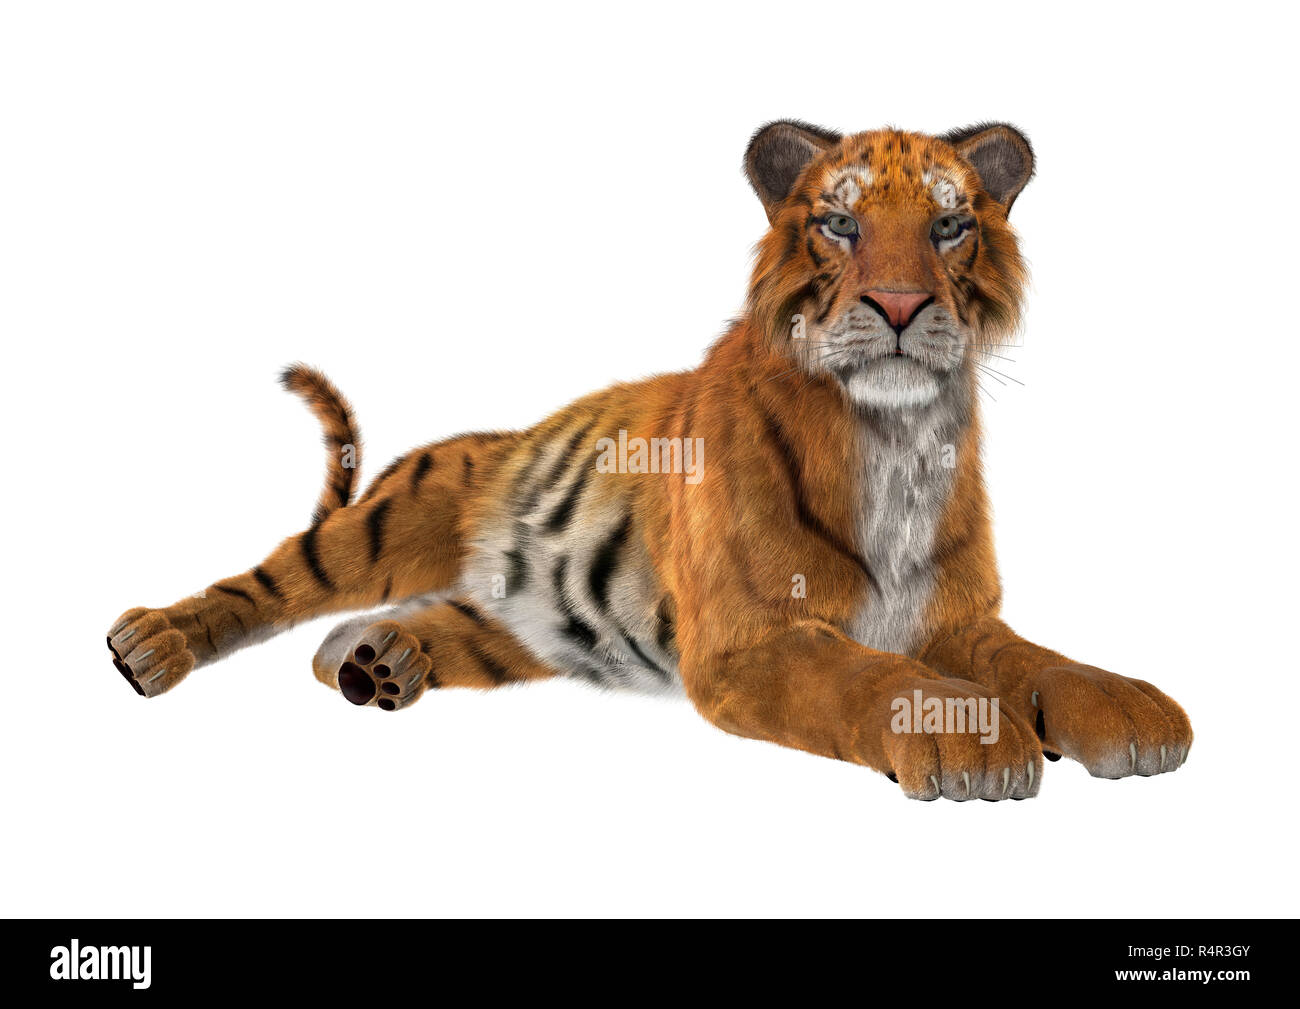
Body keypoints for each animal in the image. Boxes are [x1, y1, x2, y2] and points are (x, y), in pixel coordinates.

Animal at [106, 120, 1192, 801]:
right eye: (840, 223)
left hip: (522, 624)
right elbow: (871, 679)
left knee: (425, 626)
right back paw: (154, 646)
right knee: (266, 585)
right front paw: (968, 732)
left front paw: (1129, 709)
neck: (898, 439)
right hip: (382, 525)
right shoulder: (753, 642)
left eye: (950, 224)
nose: (895, 304)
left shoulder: (956, 616)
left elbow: (1040, 660)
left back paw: (378, 659)